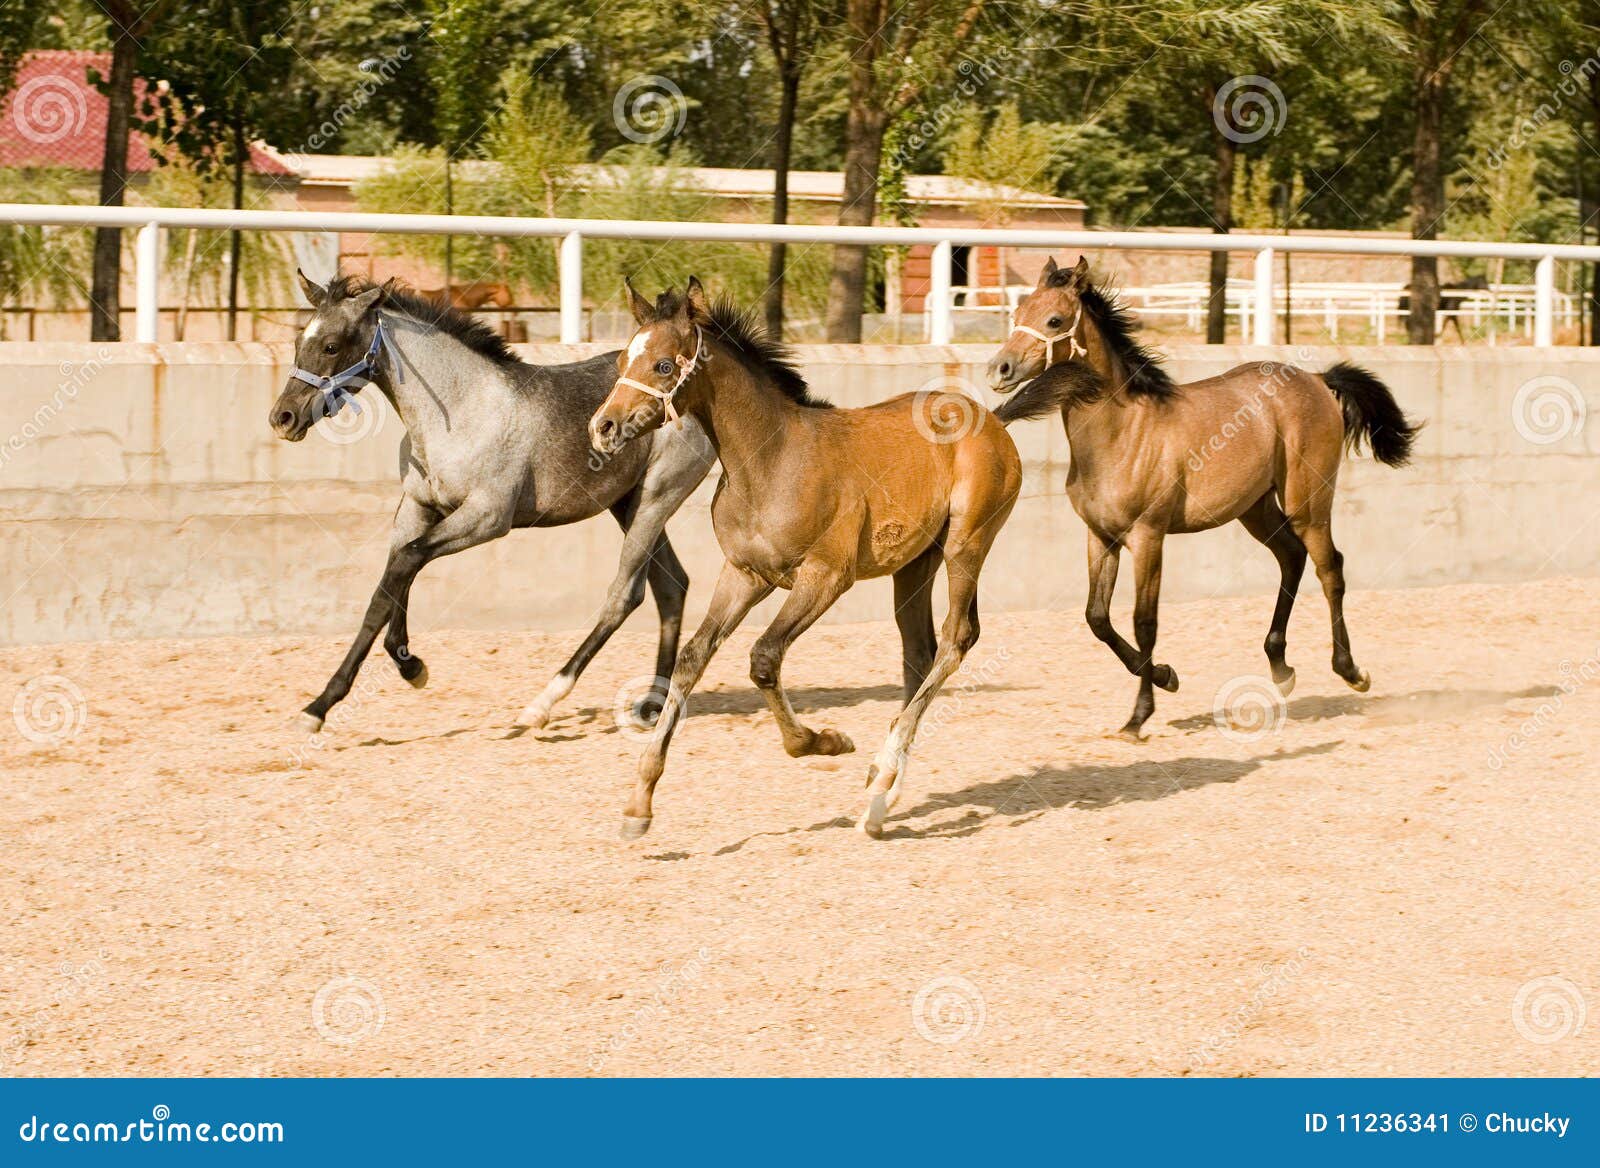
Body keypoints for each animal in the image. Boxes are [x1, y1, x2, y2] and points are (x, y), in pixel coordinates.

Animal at [269, 271, 716, 734]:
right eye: (299, 339)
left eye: (331, 345)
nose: (283, 418)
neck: (459, 412)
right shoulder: (416, 509)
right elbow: (390, 583)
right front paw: (397, 670)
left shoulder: (487, 517)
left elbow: (403, 567)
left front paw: (332, 702)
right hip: (628, 503)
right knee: (672, 586)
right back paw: (653, 703)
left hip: (656, 499)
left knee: (627, 594)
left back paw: (547, 704)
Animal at [588, 277, 1023, 840]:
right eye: (623, 359)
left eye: (663, 365)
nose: (603, 427)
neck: (771, 463)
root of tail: (992, 422)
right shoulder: (745, 575)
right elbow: (691, 659)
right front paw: (639, 805)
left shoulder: (825, 577)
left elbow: (764, 658)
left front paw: (824, 741)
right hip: (914, 565)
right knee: (920, 652)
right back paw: (881, 798)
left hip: (967, 544)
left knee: (956, 640)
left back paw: (882, 774)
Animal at [986, 256, 1420, 740]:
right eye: (1018, 313)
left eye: (1055, 320)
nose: (1000, 369)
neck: (1122, 433)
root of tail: (1317, 380)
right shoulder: (1101, 537)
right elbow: (1097, 618)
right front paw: (1165, 676)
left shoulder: (1148, 537)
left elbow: (1144, 622)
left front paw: (1139, 715)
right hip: (1255, 508)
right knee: (1291, 557)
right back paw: (1281, 667)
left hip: (1307, 504)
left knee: (1331, 569)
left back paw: (1351, 671)